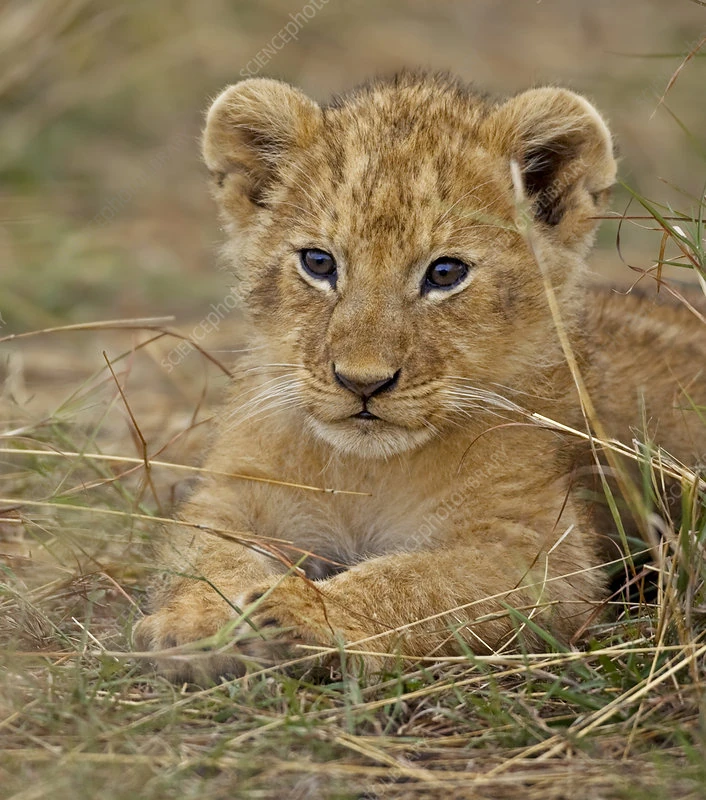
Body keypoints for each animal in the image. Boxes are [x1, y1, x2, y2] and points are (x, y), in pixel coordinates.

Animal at [133, 71, 706, 683]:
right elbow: (207, 555)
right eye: (318, 263)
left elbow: (413, 582)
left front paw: (305, 614)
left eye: (445, 273)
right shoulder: (235, 496)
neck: (366, 471)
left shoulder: (542, 552)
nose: (362, 383)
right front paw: (196, 621)